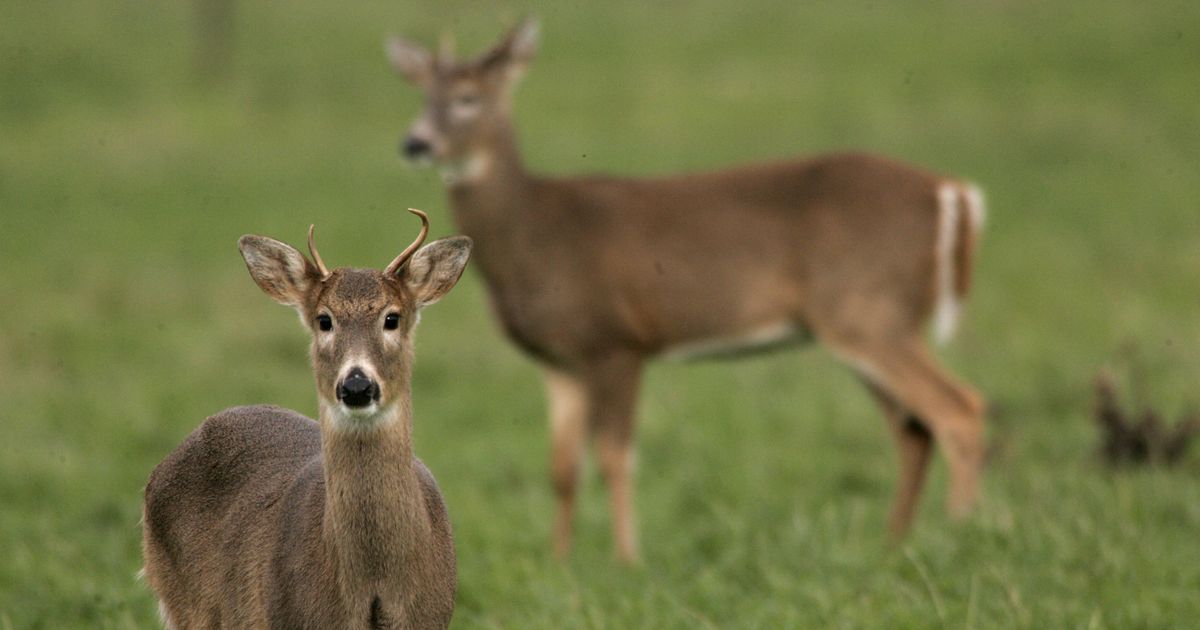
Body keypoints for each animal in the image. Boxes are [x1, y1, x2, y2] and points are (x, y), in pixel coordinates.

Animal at [387, 19, 987, 563]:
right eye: (423, 94)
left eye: (468, 97)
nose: (415, 142)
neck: (534, 234)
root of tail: (951, 191)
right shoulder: (560, 361)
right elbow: (561, 467)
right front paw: (560, 563)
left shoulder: (616, 341)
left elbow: (616, 456)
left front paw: (626, 560)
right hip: (866, 320)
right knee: (914, 428)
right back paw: (894, 542)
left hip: (867, 310)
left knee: (959, 408)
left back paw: (959, 535)